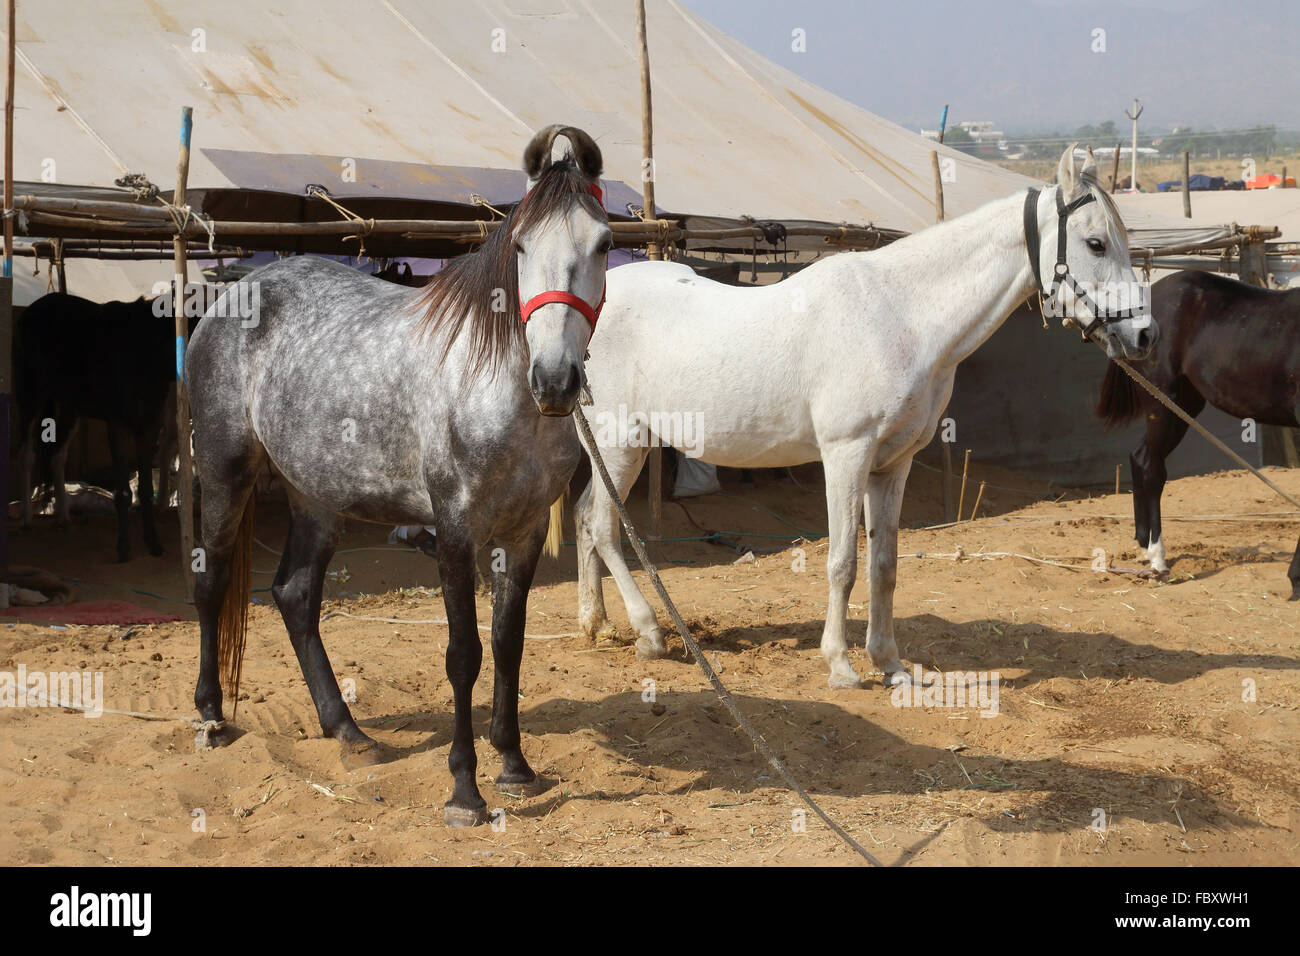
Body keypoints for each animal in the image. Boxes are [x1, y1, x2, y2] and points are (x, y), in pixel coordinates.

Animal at [15, 292, 177, 561]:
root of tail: (31, 310)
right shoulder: (118, 426)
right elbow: (123, 492)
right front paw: (123, 548)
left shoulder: (149, 427)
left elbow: (145, 488)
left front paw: (153, 543)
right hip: (30, 397)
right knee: (26, 454)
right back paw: (27, 519)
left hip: (70, 408)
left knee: (57, 455)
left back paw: (63, 517)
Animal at [185, 125, 609, 827]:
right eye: (521, 244)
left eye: (603, 244)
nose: (554, 380)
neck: (492, 382)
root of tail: (233, 295)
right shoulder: (456, 531)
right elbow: (464, 654)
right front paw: (465, 791)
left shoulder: (519, 535)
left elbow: (508, 642)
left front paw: (515, 766)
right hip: (224, 476)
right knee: (211, 582)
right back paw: (212, 717)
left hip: (316, 496)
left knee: (295, 595)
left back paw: (349, 733)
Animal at [574, 145, 1157, 689]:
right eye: (1096, 243)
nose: (1144, 334)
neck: (902, 316)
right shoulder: (845, 455)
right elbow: (842, 563)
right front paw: (841, 665)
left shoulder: (892, 464)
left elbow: (884, 565)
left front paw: (890, 663)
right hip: (621, 441)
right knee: (604, 526)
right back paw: (649, 632)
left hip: (615, 446)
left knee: (584, 518)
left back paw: (594, 624)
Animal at [1096, 269, 1300, 595]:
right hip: (1163, 402)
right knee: (1153, 469)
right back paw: (1158, 560)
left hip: (1183, 405)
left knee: (1140, 457)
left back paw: (1142, 545)